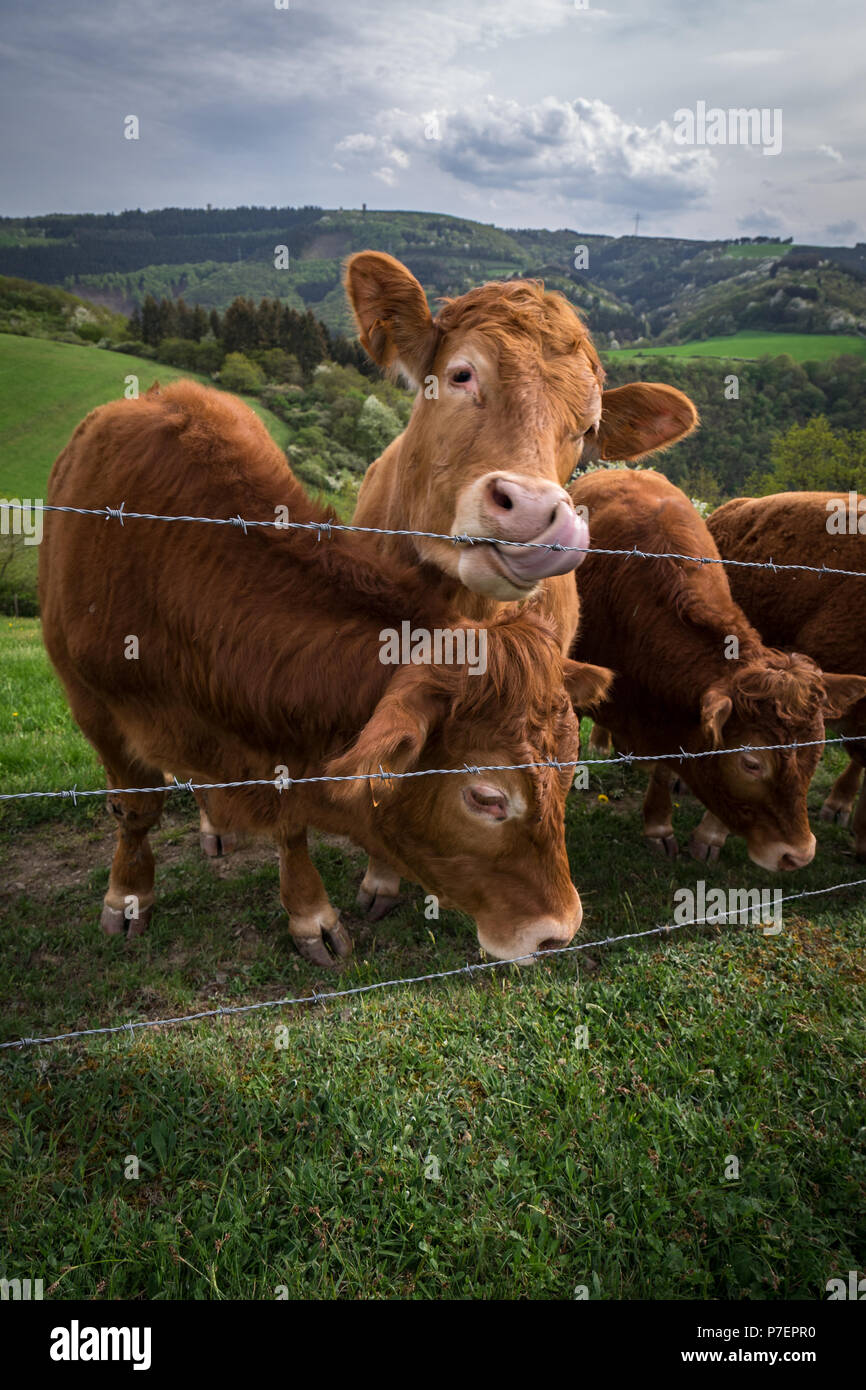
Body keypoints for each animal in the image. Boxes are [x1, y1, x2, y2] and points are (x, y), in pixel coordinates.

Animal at [38, 379, 605, 967]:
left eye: (569, 770)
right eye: (486, 798)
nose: (557, 932)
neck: (170, 570)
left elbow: (290, 825)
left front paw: (310, 914)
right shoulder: (93, 707)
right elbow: (134, 809)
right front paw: (128, 897)